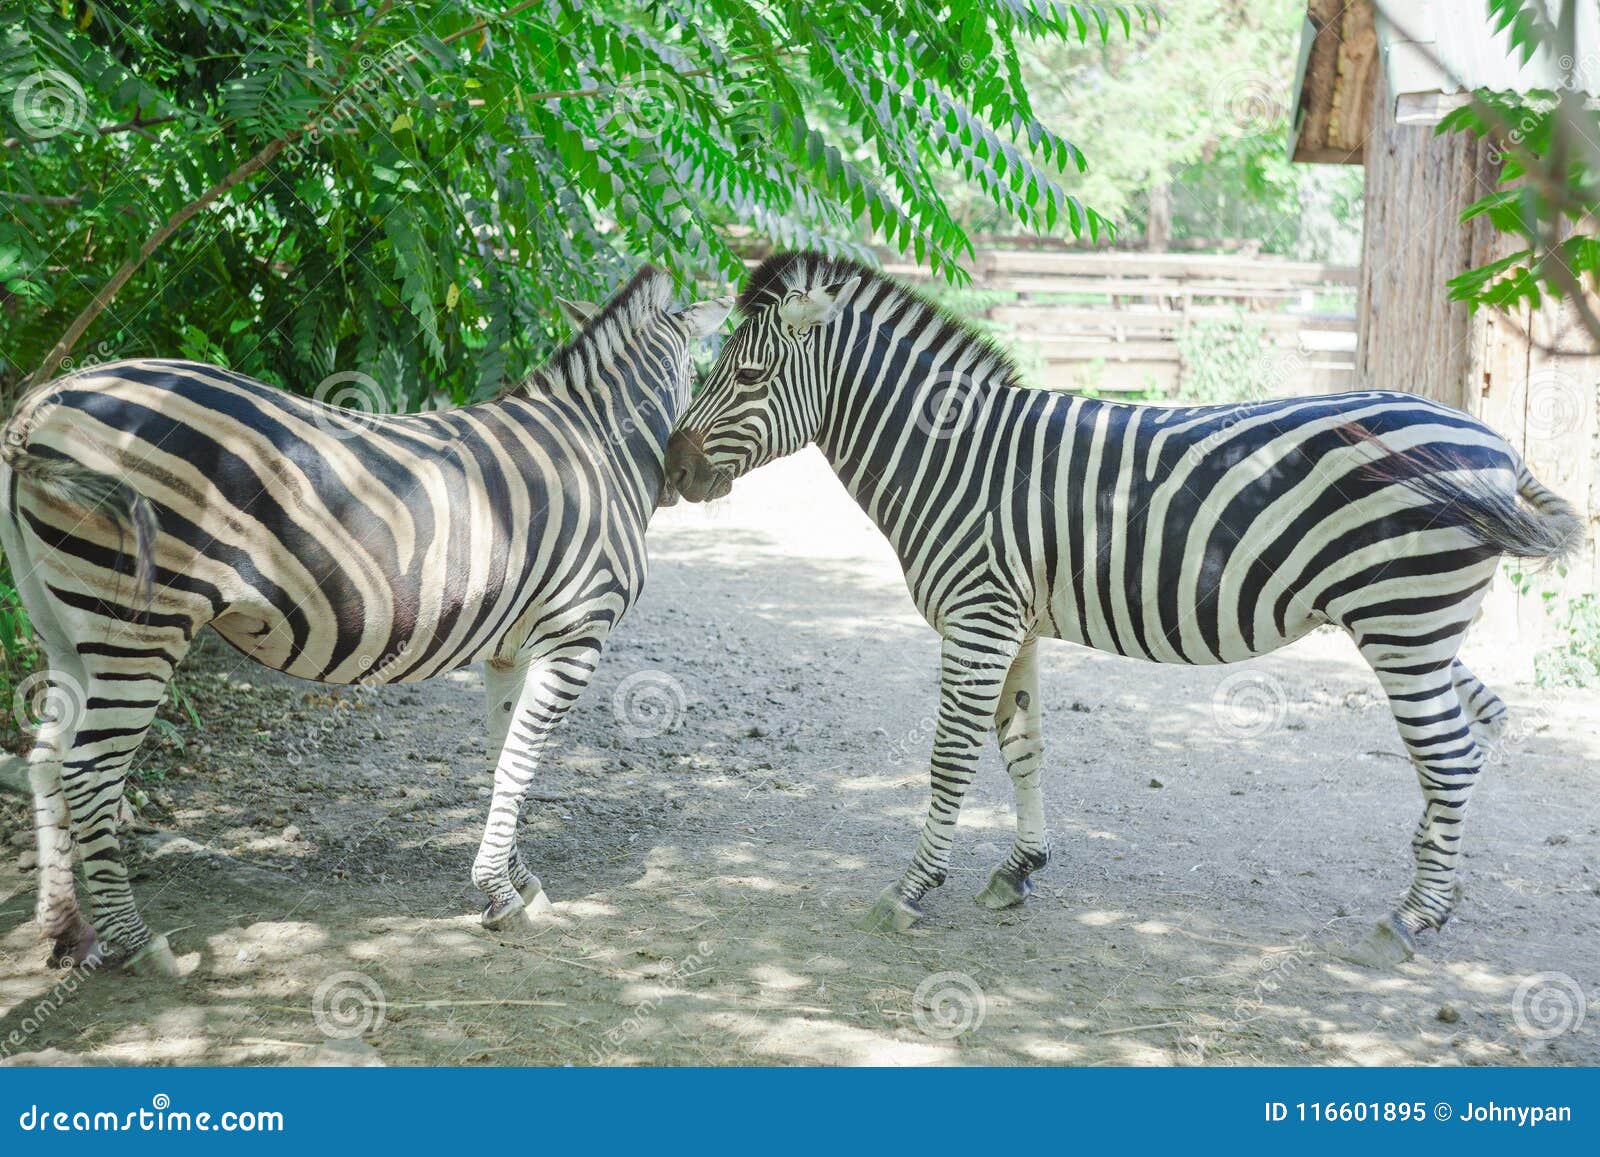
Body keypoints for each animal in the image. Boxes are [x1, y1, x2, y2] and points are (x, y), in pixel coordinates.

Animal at [0, 268, 731, 976]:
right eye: (704, 375)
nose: (691, 481)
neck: (598, 449)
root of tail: (48, 398)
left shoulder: (514, 647)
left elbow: (505, 758)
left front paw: (514, 881)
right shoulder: (577, 630)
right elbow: (523, 759)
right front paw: (500, 893)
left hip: (65, 627)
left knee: (46, 760)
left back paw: (68, 933)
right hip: (140, 626)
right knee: (90, 770)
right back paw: (137, 942)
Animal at [664, 252, 1584, 964]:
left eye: (747, 374)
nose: (671, 469)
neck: (953, 455)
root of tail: (1498, 447)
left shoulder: (978, 617)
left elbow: (951, 757)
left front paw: (912, 887)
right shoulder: (1013, 621)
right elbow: (1023, 747)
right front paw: (1019, 867)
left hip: (1402, 623)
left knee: (1450, 753)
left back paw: (1411, 916)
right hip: (1417, 627)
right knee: (1479, 726)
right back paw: (1439, 886)